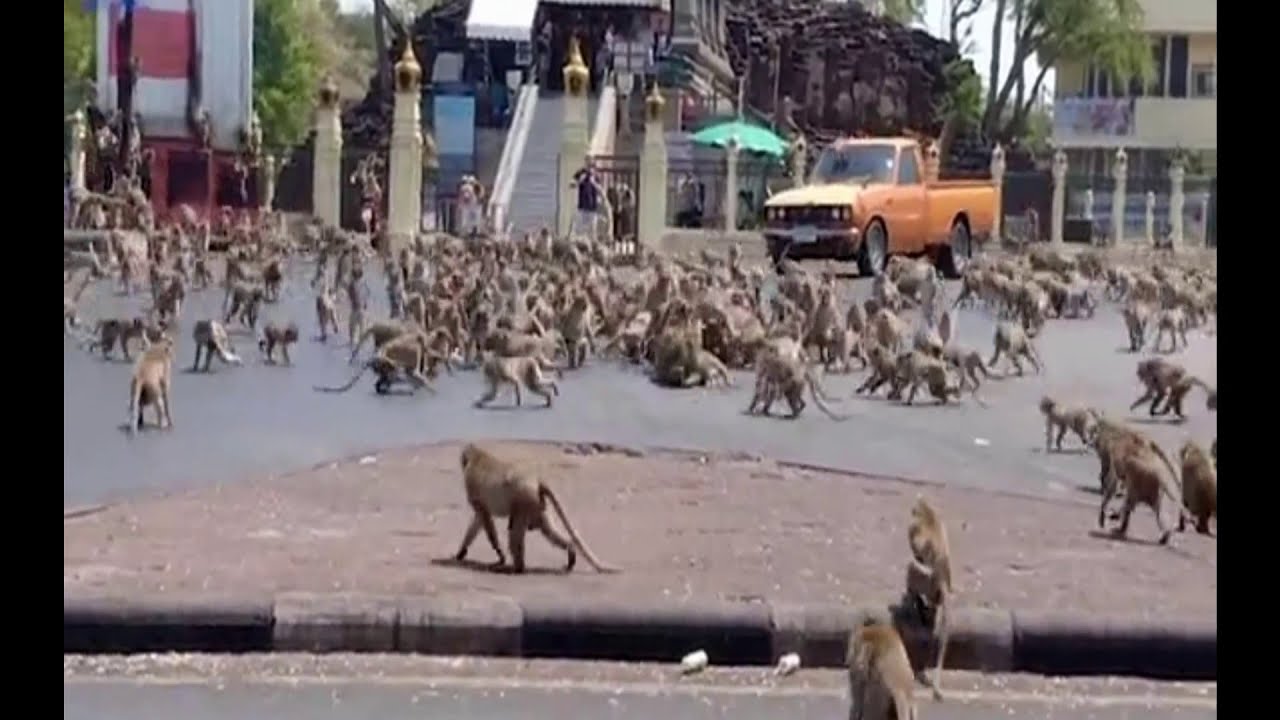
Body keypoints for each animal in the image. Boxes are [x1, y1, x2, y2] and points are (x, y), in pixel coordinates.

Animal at [454, 443, 621, 574]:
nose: (462, 463)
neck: (477, 456)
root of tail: (536, 481)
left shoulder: (474, 489)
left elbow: (485, 518)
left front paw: (500, 555)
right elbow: (478, 521)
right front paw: (461, 552)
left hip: (525, 500)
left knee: (515, 532)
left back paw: (517, 568)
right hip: (536, 504)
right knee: (548, 530)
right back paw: (570, 552)